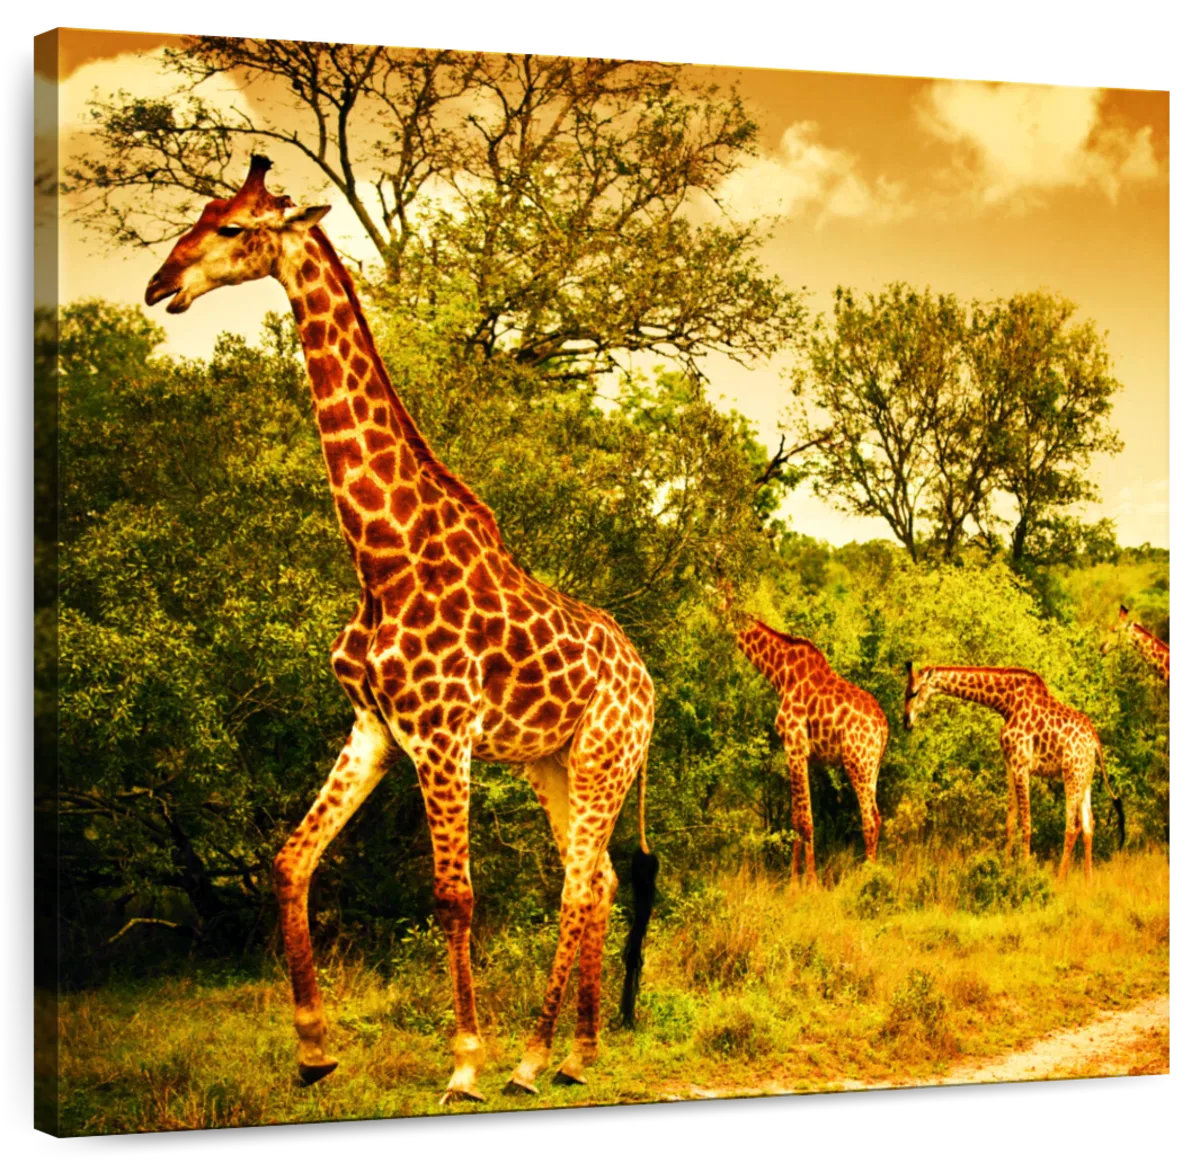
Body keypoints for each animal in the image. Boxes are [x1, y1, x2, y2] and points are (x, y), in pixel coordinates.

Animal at [145, 155, 658, 1102]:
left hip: (606, 754)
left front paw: (464, 1063)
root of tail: (648, 679)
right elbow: (289, 861)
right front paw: (314, 1048)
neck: (381, 556)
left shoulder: (440, 735)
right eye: (199, 214)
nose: (162, 284)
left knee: (577, 883)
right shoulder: (375, 728)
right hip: (552, 760)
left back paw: (529, 1059)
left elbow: (454, 895)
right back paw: (576, 1051)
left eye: (233, 228)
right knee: (598, 876)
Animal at [717, 581, 888, 885]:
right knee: (877, 817)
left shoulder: (795, 746)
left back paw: (869, 880)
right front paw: (794, 881)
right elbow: (797, 818)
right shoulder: (803, 753)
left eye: (717, 595)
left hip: (857, 762)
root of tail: (883, 726)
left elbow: (805, 821)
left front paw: (809, 884)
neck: (780, 674)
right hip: (873, 766)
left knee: (869, 819)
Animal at [902, 663, 1124, 880]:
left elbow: (1026, 822)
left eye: (914, 692)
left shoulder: (1021, 763)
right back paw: (1088, 881)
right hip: (1085, 778)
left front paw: (1024, 870)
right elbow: (1010, 822)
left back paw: (1060, 879)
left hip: (1072, 774)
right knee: (1088, 824)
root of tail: (1095, 742)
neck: (1006, 703)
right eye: (905, 692)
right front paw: (1006, 868)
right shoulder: (1009, 764)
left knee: (1072, 826)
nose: (906, 722)